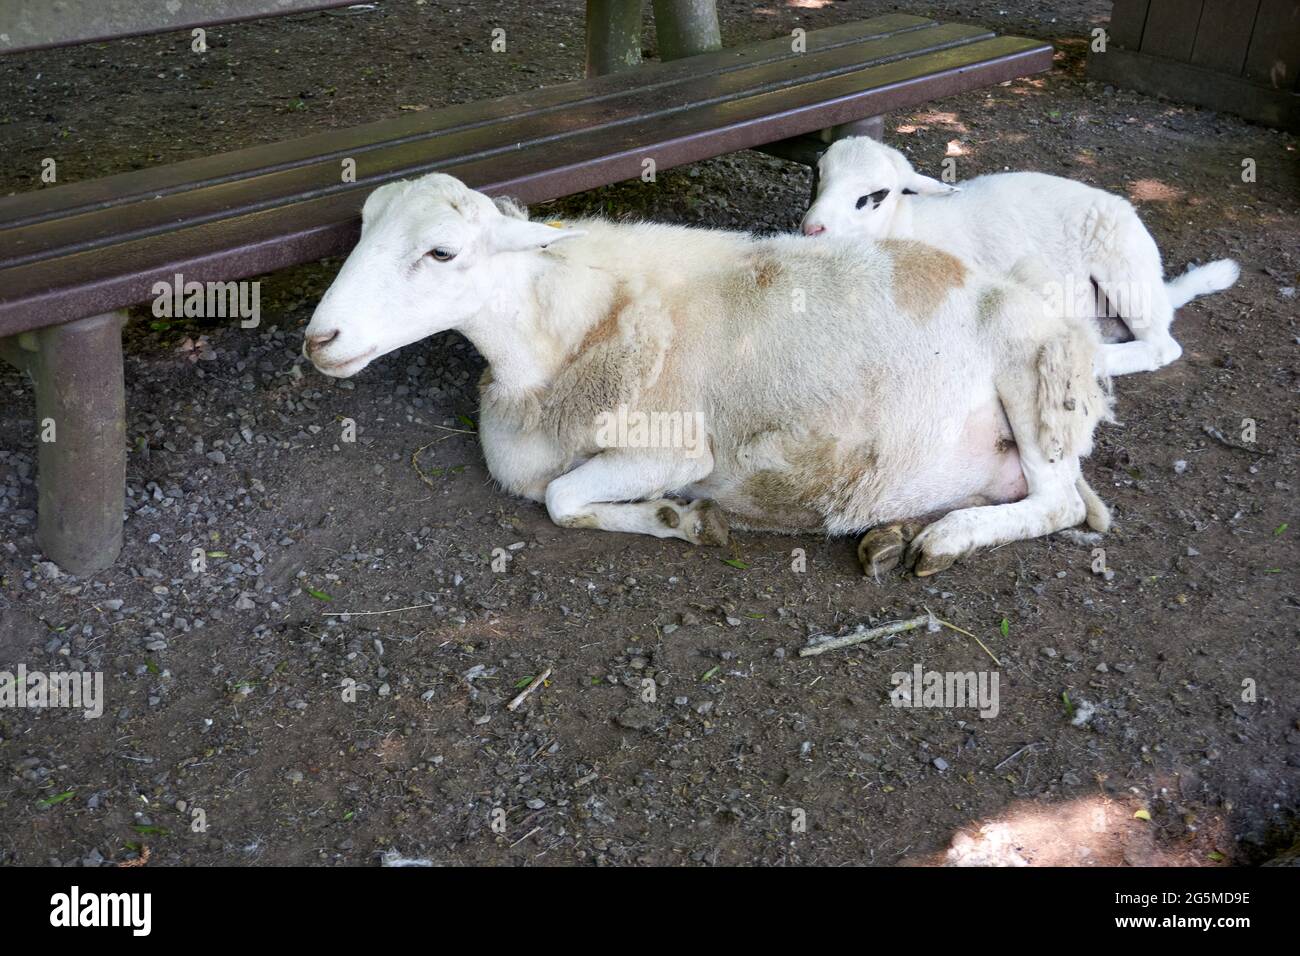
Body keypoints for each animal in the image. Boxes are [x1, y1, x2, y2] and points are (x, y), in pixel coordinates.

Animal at [304, 173, 1113, 576]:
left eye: (441, 252)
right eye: (362, 227)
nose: (320, 338)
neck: (561, 332)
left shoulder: (675, 447)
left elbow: (563, 498)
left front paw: (680, 517)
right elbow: (559, 494)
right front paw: (674, 517)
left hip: (1034, 381)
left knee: (1057, 505)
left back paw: (948, 541)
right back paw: (895, 534)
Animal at [801, 137, 1239, 377]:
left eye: (874, 196)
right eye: (817, 176)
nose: (812, 229)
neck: (907, 228)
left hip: (1125, 270)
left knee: (1160, 346)